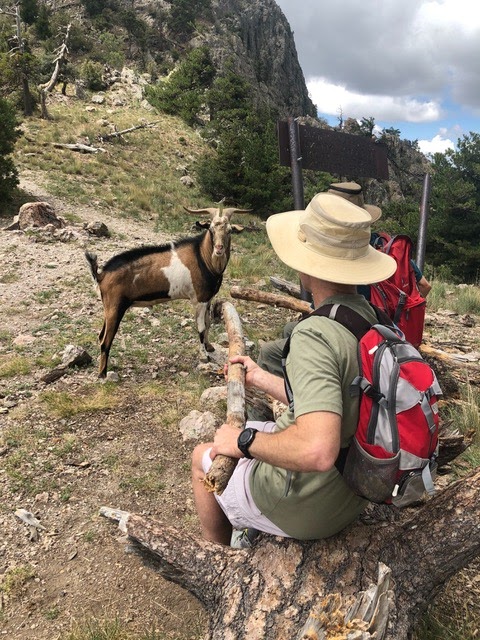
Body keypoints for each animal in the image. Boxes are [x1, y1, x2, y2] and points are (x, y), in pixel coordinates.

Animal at [85, 203, 251, 377]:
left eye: (230, 230)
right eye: (211, 229)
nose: (219, 249)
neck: (203, 257)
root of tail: (101, 274)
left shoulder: (208, 298)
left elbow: (208, 323)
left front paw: (209, 346)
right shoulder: (199, 300)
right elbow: (201, 327)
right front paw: (204, 355)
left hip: (108, 308)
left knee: (101, 336)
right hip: (115, 307)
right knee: (105, 340)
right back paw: (102, 374)